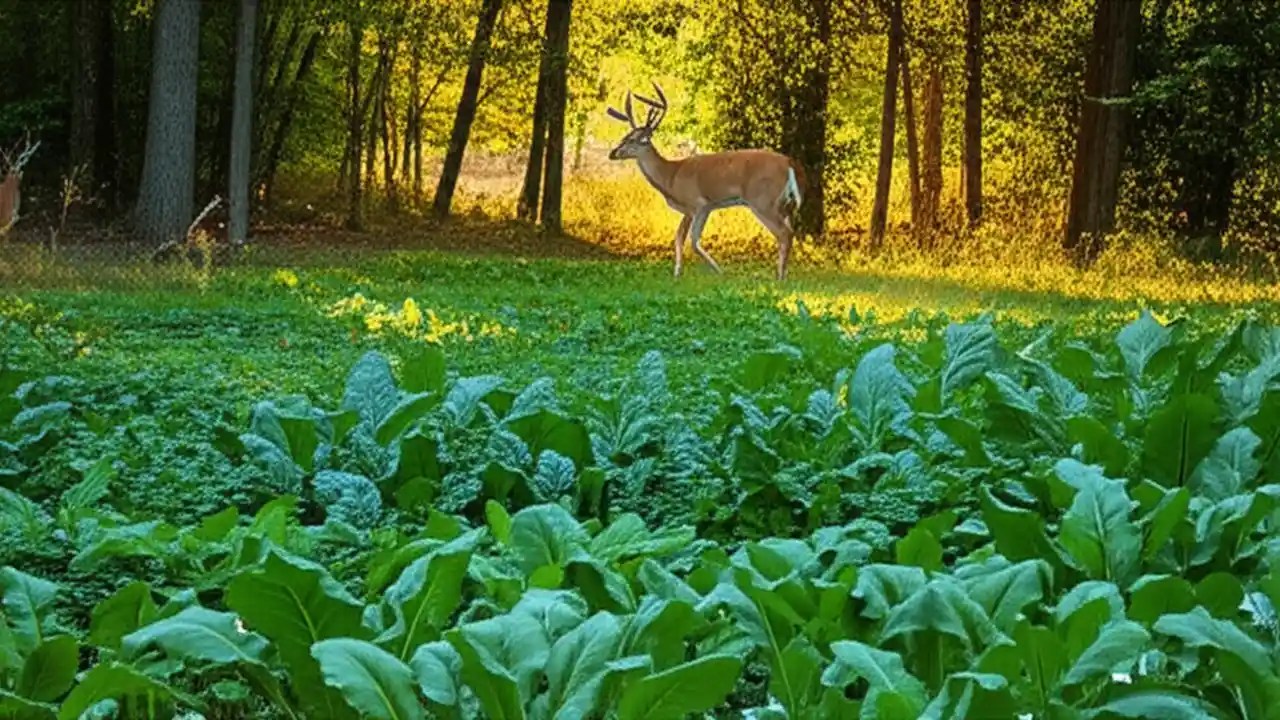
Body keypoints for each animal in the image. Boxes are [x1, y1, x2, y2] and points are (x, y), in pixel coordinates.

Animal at [606, 83, 806, 281]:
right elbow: (678, 237)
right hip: (783, 204)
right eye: (624, 137)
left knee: (784, 233)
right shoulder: (689, 210)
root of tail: (789, 163)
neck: (670, 177)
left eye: (632, 140)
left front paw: (719, 271)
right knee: (789, 231)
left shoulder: (700, 203)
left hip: (763, 200)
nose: (612, 153)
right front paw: (677, 272)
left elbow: (693, 241)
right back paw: (784, 272)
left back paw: (779, 277)